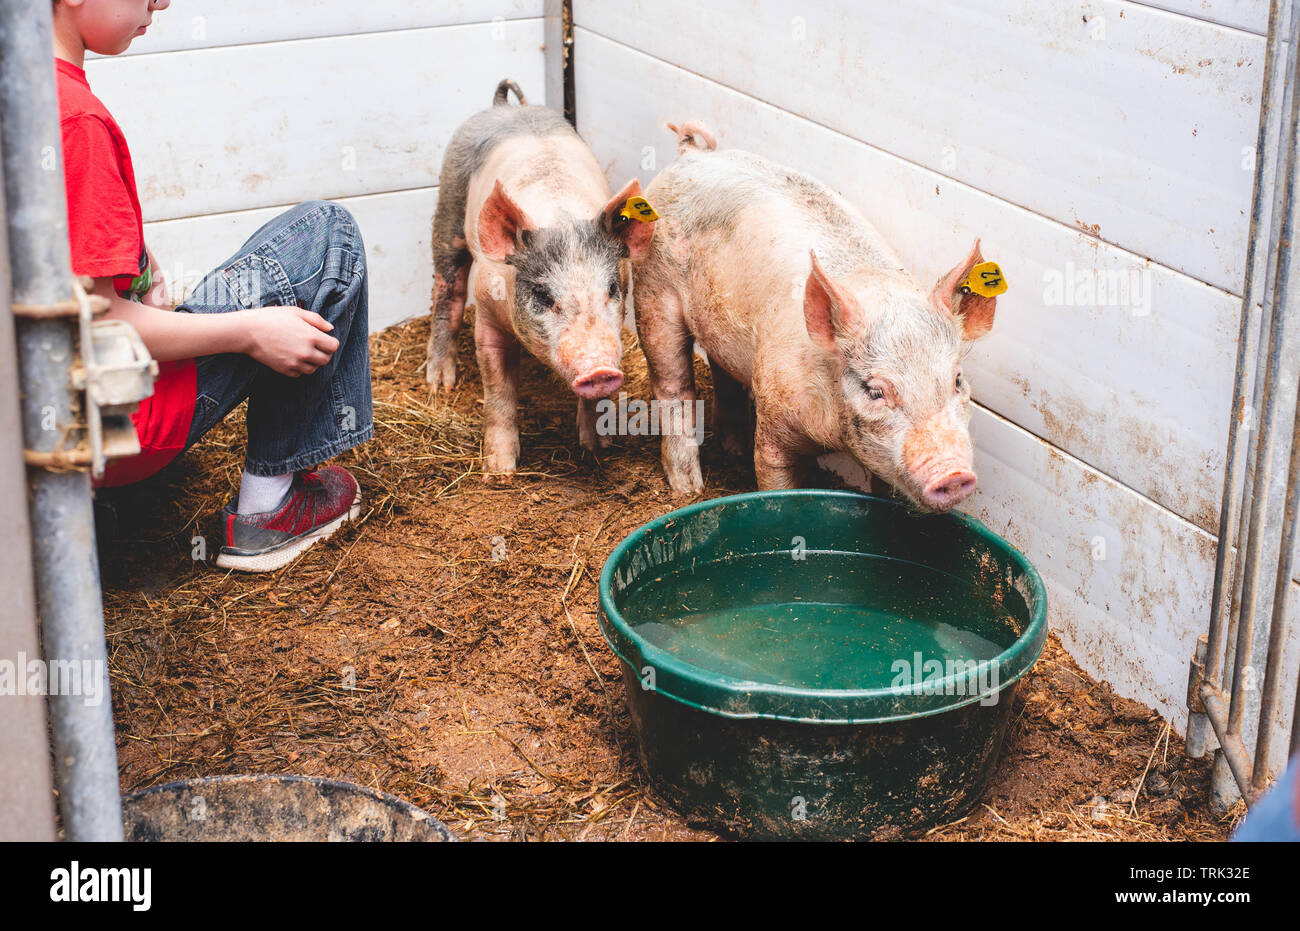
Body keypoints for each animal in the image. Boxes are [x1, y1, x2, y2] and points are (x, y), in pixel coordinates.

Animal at [426, 79, 655, 481]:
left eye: (612, 289)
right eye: (543, 295)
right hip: (450, 203)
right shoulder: (487, 311)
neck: (560, 216)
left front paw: (596, 448)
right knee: (446, 288)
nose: (599, 368)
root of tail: (502, 107)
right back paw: (440, 383)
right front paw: (499, 474)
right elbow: (498, 392)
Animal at [632, 122, 998, 512]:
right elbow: (771, 472)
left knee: (723, 373)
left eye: (957, 380)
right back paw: (688, 488)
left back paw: (732, 450)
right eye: (875, 390)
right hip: (652, 290)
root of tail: (690, 153)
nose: (954, 474)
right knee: (673, 384)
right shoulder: (774, 416)